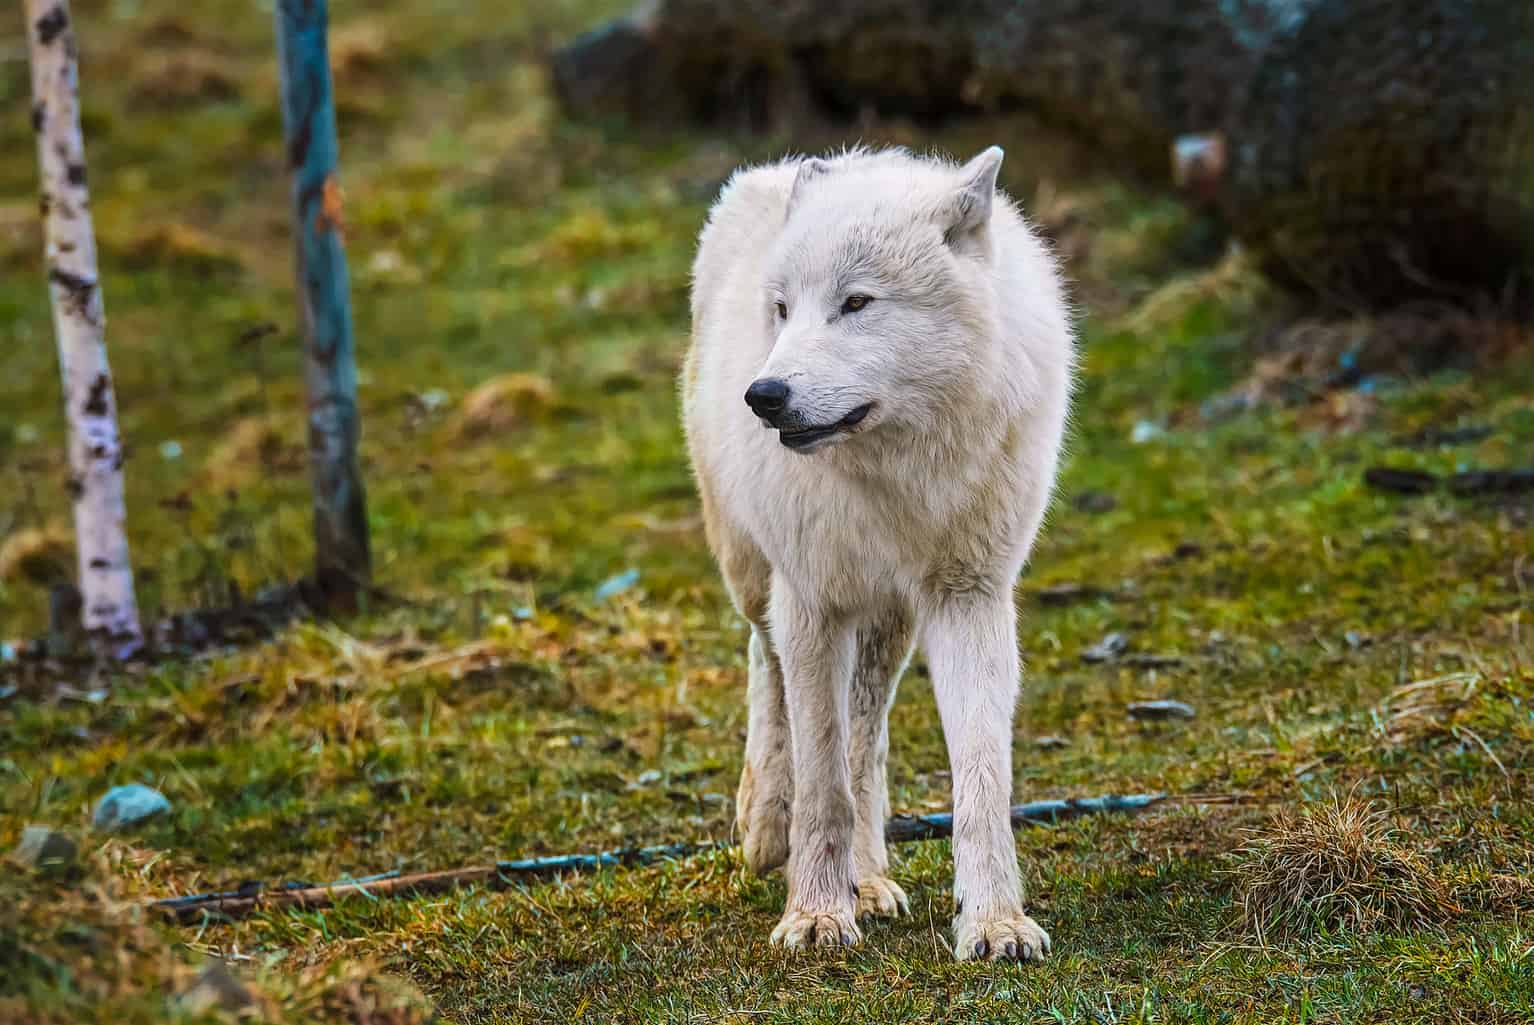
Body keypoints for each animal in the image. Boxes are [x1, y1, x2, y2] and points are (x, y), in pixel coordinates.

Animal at [682, 146, 1074, 961]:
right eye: (784, 309)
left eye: (857, 302)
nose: (764, 395)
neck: (894, 473)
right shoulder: (811, 602)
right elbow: (821, 780)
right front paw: (814, 914)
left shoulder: (969, 597)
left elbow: (981, 780)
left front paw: (994, 922)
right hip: (752, 575)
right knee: (766, 667)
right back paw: (766, 829)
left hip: (892, 621)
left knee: (866, 737)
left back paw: (868, 876)